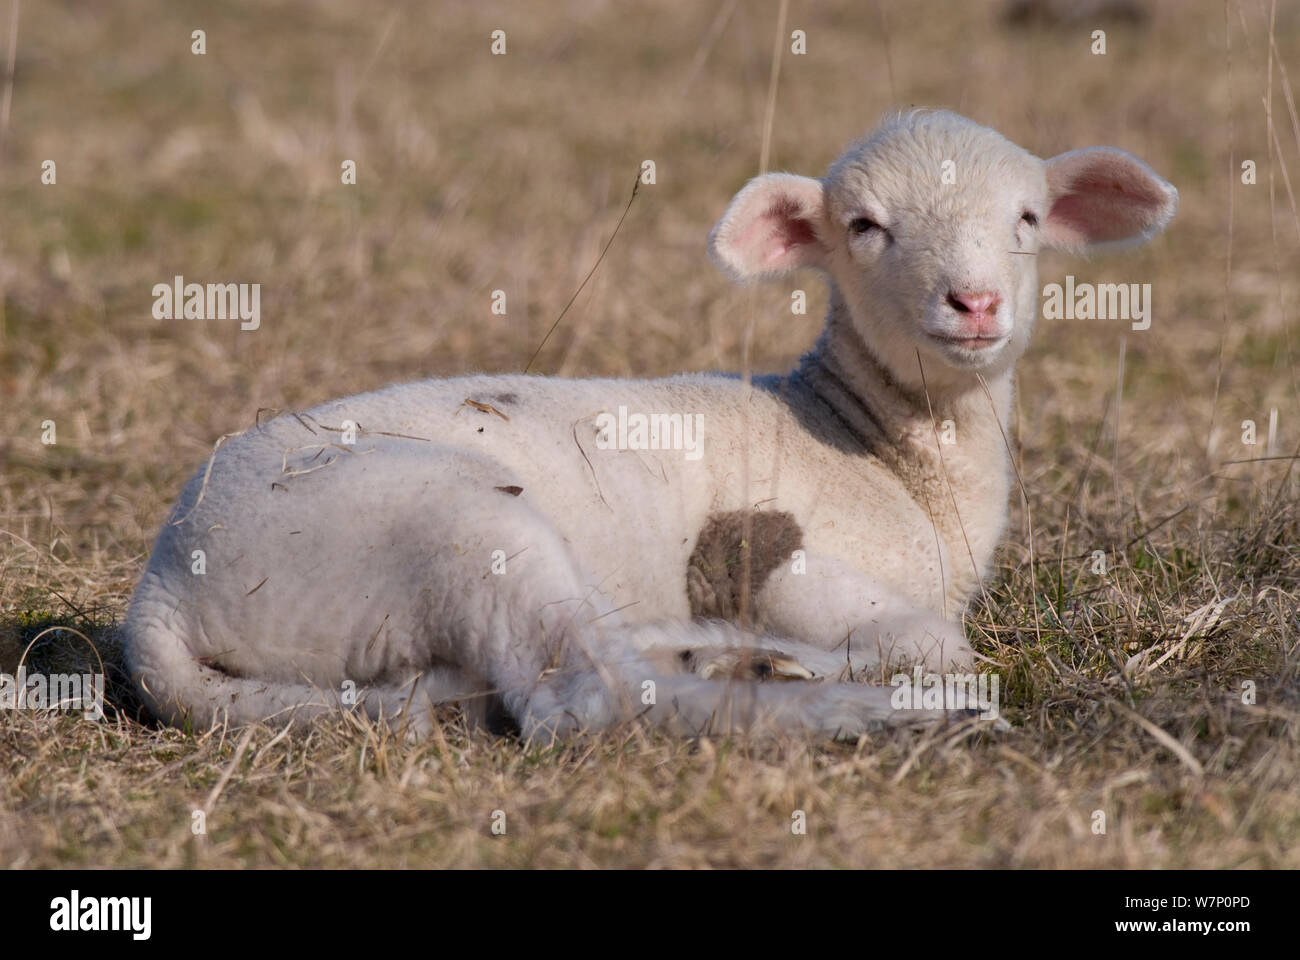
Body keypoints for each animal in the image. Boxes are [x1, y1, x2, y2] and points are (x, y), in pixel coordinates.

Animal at [123, 109, 1177, 741]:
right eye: (864, 226)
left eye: (1029, 218)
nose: (974, 303)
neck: (875, 446)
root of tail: (161, 596)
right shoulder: (772, 552)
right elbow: (935, 640)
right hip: (447, 528)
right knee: (591, 699)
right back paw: (872, 708)